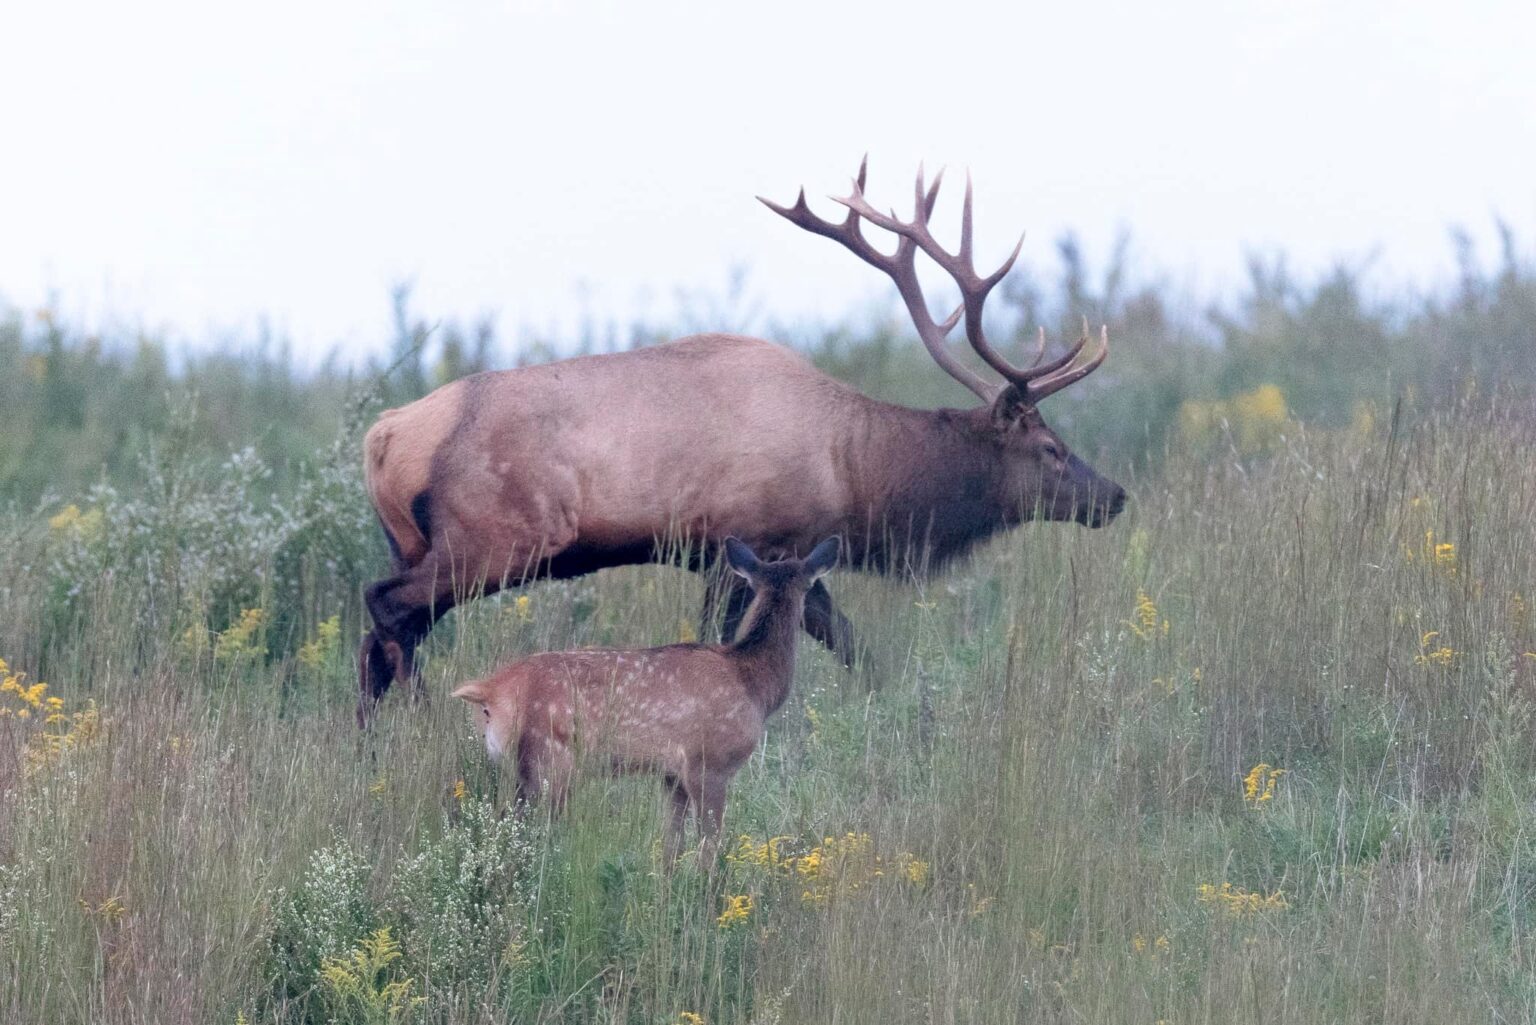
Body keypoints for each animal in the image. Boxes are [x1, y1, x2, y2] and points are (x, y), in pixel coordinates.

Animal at [358, 160, 1126, 725]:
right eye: (1051, 447)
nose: (1114, 495)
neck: (853, 467)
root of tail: (382, 436)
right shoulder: (750, 538)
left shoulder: (788, 550)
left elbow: (854, 646)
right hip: (490, 541)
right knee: (387, 607)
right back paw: (425, 721)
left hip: (419, 542)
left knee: (384, 632)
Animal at [452, 536, 840, 861]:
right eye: (812, 587)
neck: (752, 682)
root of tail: (490, 690)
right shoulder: (710, 763)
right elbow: (708, 851)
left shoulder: (672, 775)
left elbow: (671, 848)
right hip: (551, 763)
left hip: (515, 771)